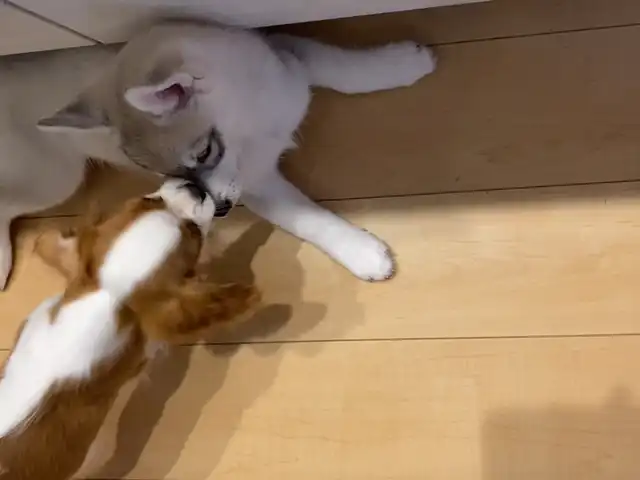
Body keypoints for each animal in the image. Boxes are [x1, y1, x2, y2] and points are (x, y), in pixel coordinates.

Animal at [0, 19, 436, 289]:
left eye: (205, 150)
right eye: (169, 174)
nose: (223, 209)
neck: (250, 123)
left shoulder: (288, 56)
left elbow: (344, 69)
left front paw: (401, 64)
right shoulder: (255, 184)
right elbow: (307, 220)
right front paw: (361, 252)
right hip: (55, 179)